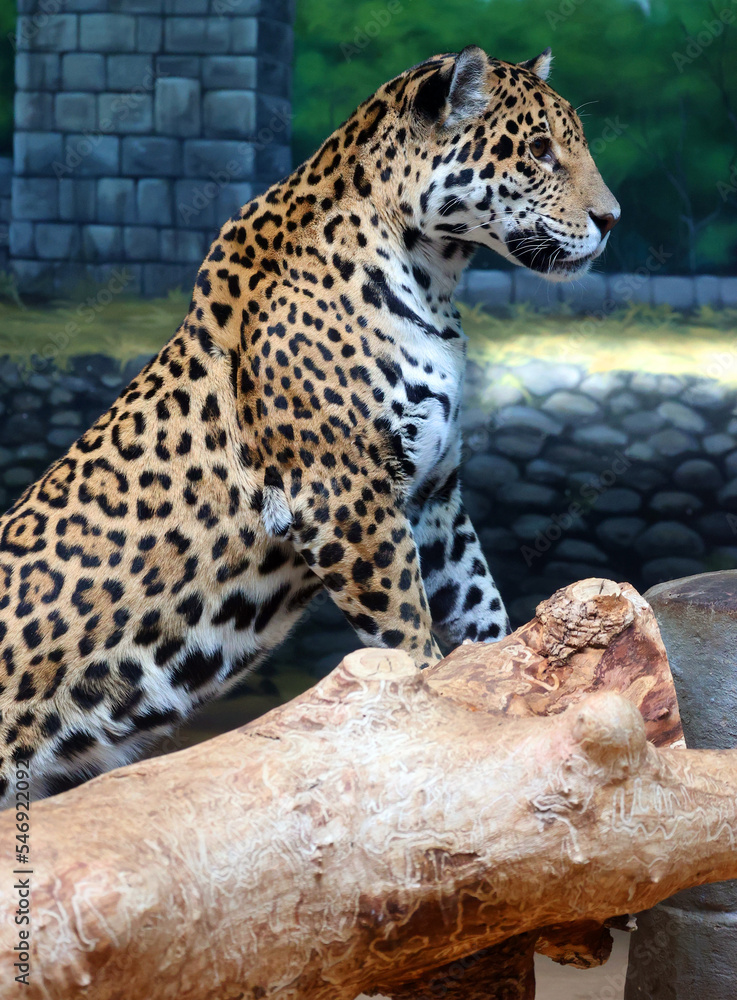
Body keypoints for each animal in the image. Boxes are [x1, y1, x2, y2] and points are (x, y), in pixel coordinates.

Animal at [0, 45, 620, 807]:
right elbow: (406, 638)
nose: (612, 219)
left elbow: (480, 606)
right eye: (537, 151)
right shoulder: (347, 499)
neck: (435, 276)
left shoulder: (433, 498)